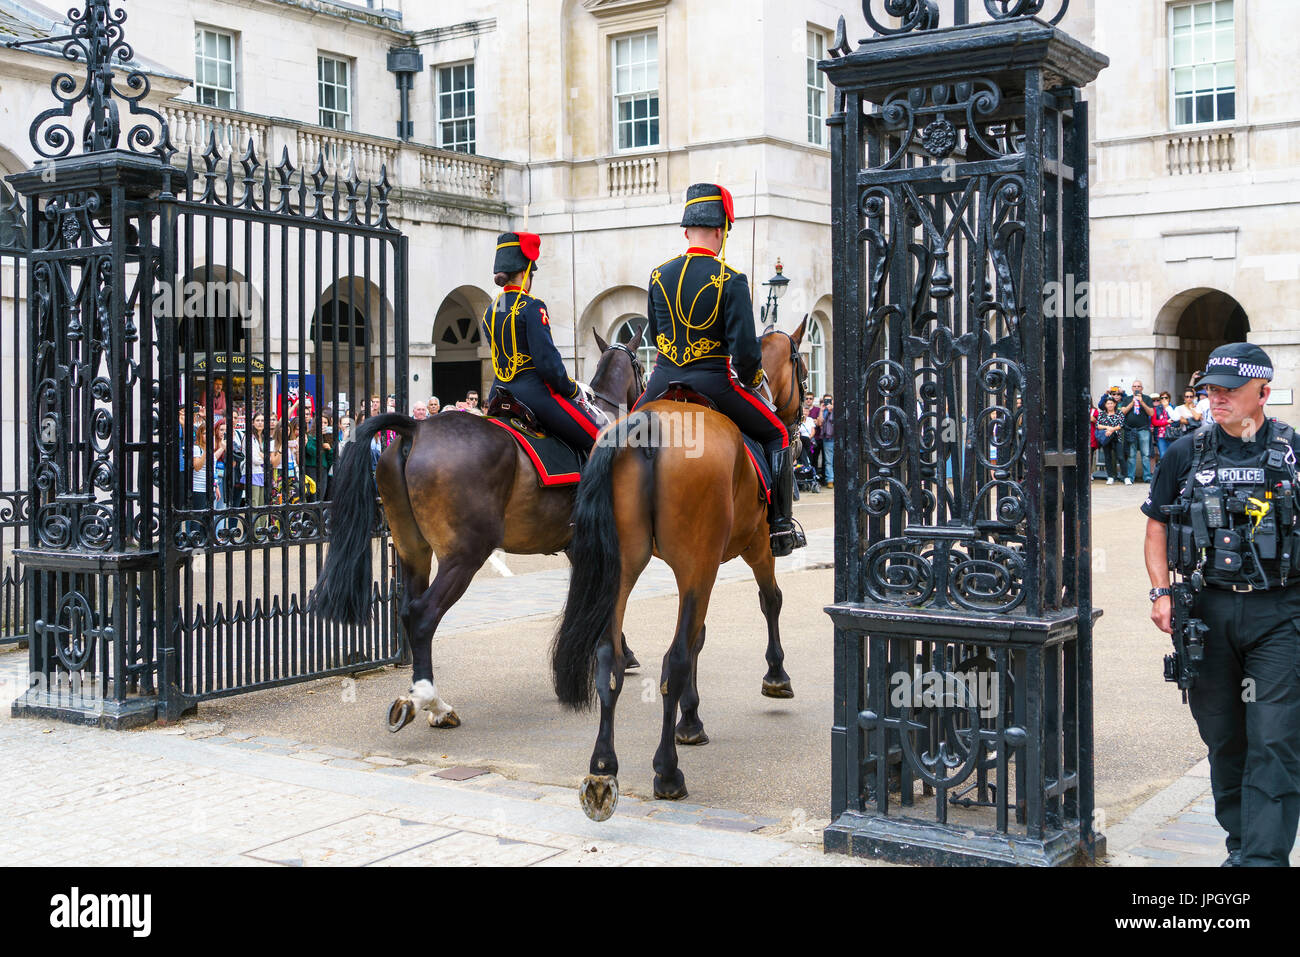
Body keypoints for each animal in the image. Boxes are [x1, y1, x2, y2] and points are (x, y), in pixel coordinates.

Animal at [314, 333, 646, 731]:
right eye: (642, 367)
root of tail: (417, 428)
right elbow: (608, 597)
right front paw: (620, 654)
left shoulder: (576, 546)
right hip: (465, 556)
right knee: (424, 615)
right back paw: (430, 700)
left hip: (413, 551)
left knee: (408, 610)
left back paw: (424, 700)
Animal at [551, 321, 808, 821]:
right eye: (803, 368)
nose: (802, 423)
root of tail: (647, 427)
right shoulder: (749, 550)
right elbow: (769, 602)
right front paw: (776, 677)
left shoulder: (699, 569)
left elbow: (698, 635)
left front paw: (691, 719)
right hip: (699, 564)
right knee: (674, 658)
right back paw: (667, 773)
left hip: (624, 570)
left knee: (609, 657)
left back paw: (602, 768)